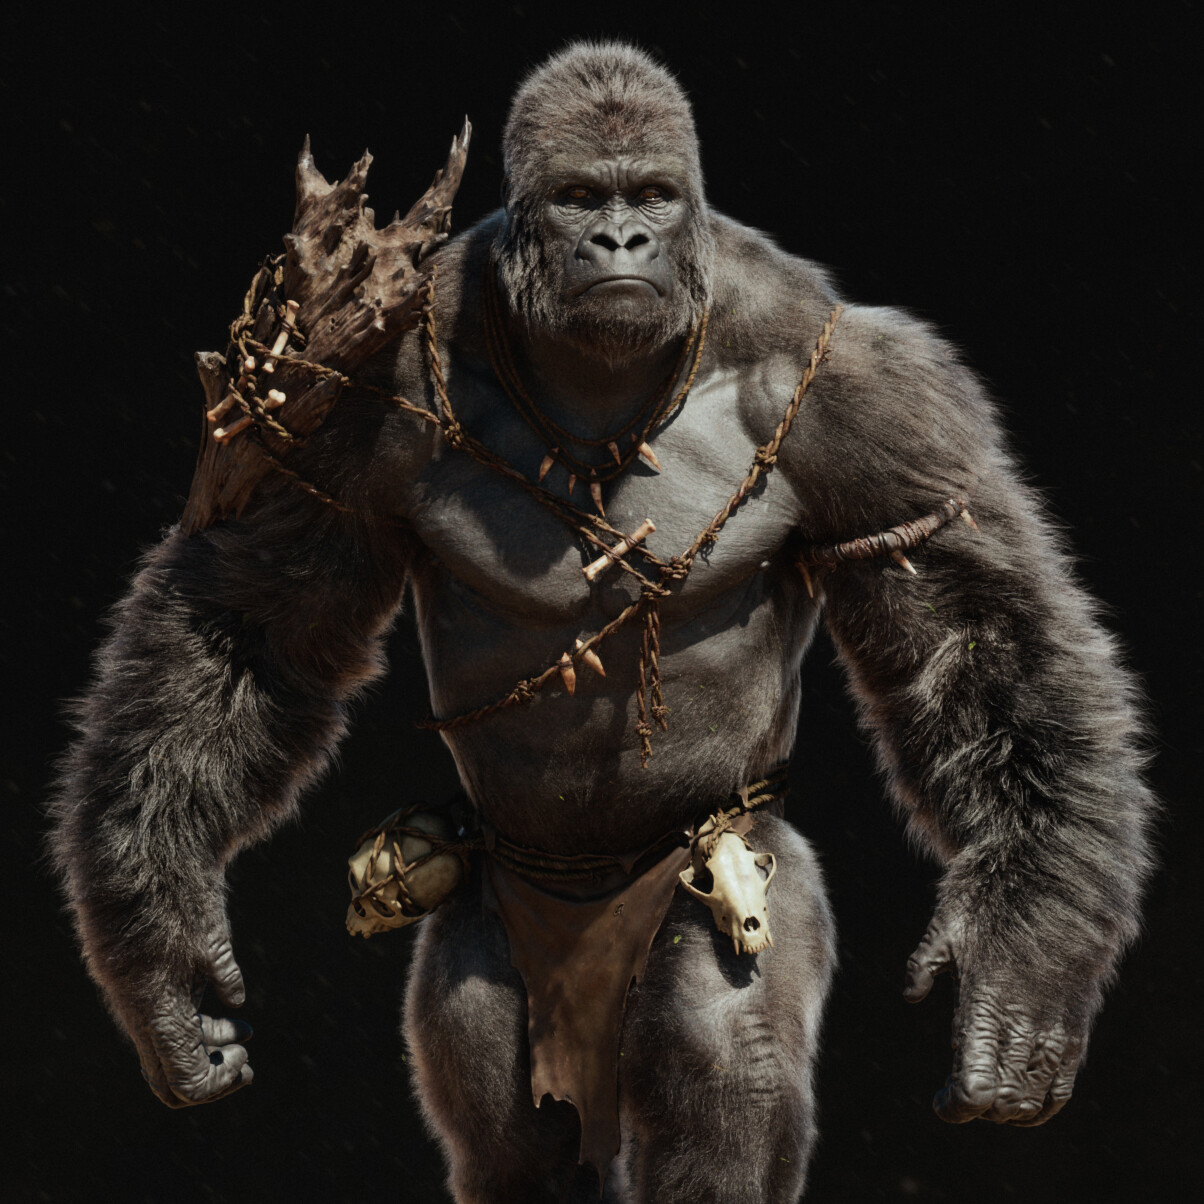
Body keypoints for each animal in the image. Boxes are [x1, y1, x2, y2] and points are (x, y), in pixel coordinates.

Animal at [49, 41, 1155, 1203]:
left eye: (652, 196)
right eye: (583, 197)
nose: (620, 241)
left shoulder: (881, 403)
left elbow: (968, 635)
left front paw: (1020, 972)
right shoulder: (338, 397)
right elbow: (253, 621)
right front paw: (162, 956)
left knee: (714, 1054)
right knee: (505, 1131)